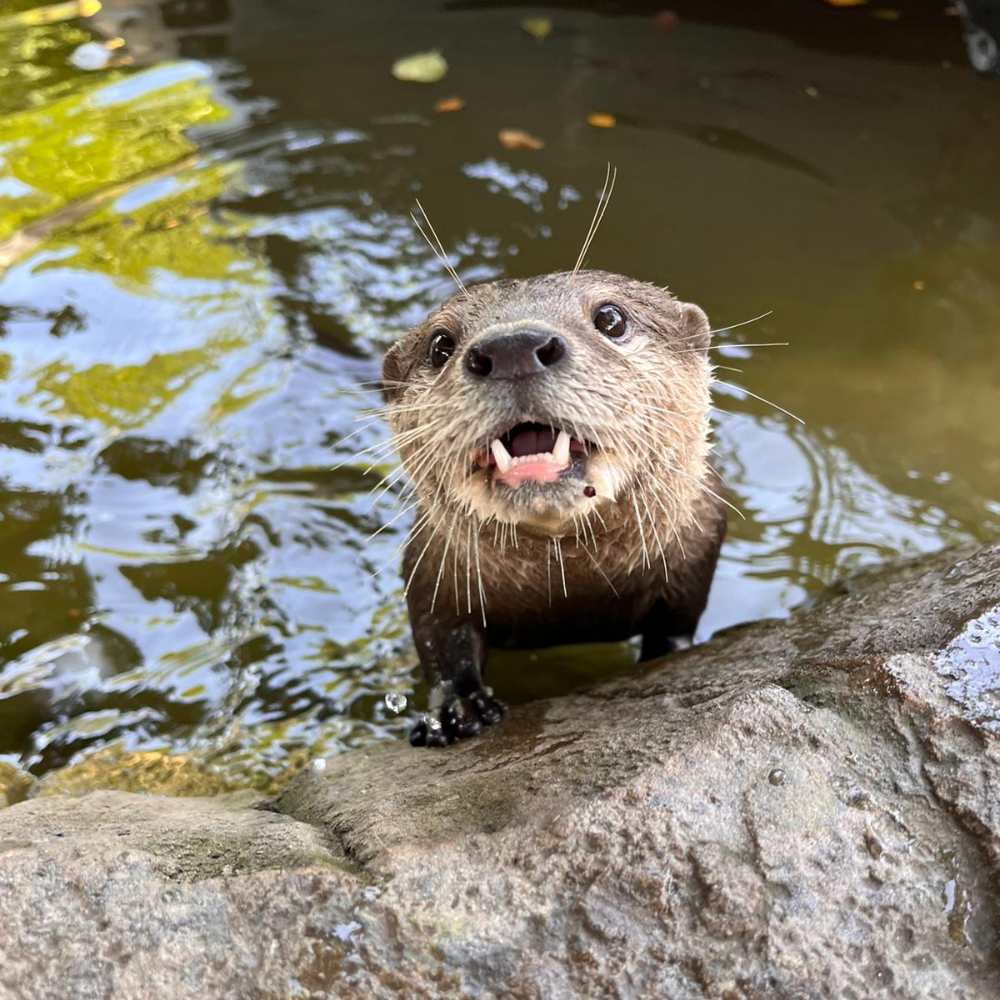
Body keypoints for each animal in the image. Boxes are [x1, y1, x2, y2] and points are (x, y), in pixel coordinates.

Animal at [381, 269, 727, 747]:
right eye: (440, 346)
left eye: (611, 318)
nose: (512, 346)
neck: (567, 592)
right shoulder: (431, 565)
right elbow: (438, 637)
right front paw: (455, 708)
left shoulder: (698, 548)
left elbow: (675, 626)